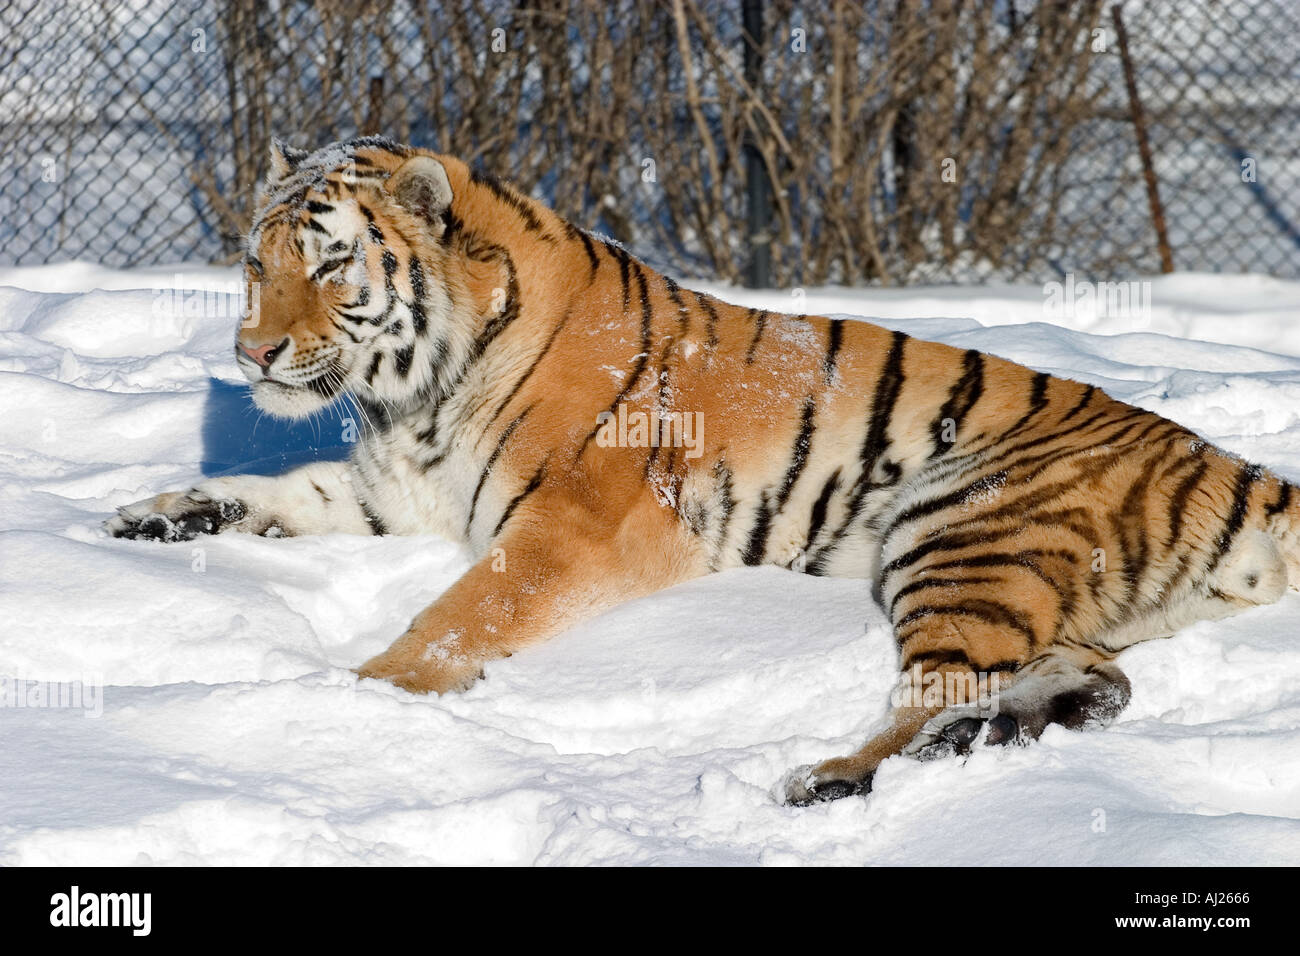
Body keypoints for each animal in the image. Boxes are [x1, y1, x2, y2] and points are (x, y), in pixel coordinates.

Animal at [107, 136, 1300, 804]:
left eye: (330, 265)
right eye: (253, 262)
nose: (251, 352)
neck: (414, 395)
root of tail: (1227, 461)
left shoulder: (571, 529)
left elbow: (456, 617)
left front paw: (354, 702)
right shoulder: (392, 493)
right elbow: (268, 498)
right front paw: (152, 514)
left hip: (959, 524)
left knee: (948, 685)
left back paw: (833, 777)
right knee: (1091, 681)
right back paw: (1003, 733)